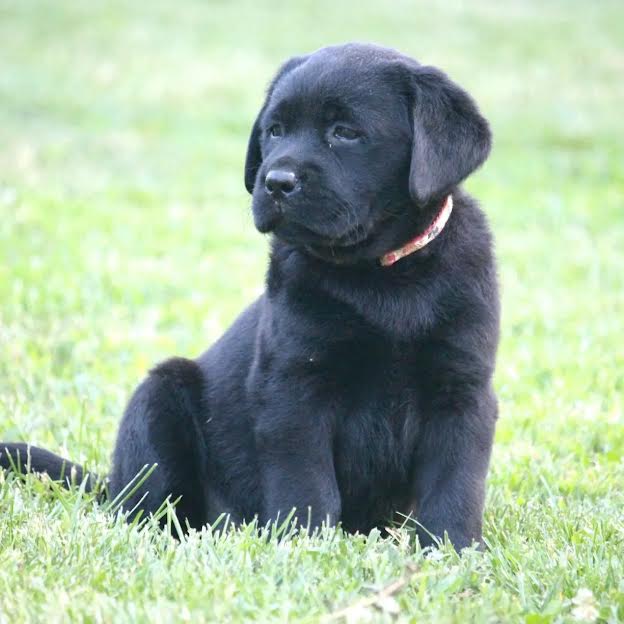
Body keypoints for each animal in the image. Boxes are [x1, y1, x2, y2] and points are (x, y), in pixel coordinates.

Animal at [0, 42, 500, 552]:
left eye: (345, 132)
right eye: (274, 130)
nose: (276, 181)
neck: (382, 277)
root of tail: (112, 483)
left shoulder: (462, 389)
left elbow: (455, 482)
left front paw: (453, 548)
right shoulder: (294, 385)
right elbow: (306, 483)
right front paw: (306, 546)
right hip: (158, 400)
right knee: (146, 507)